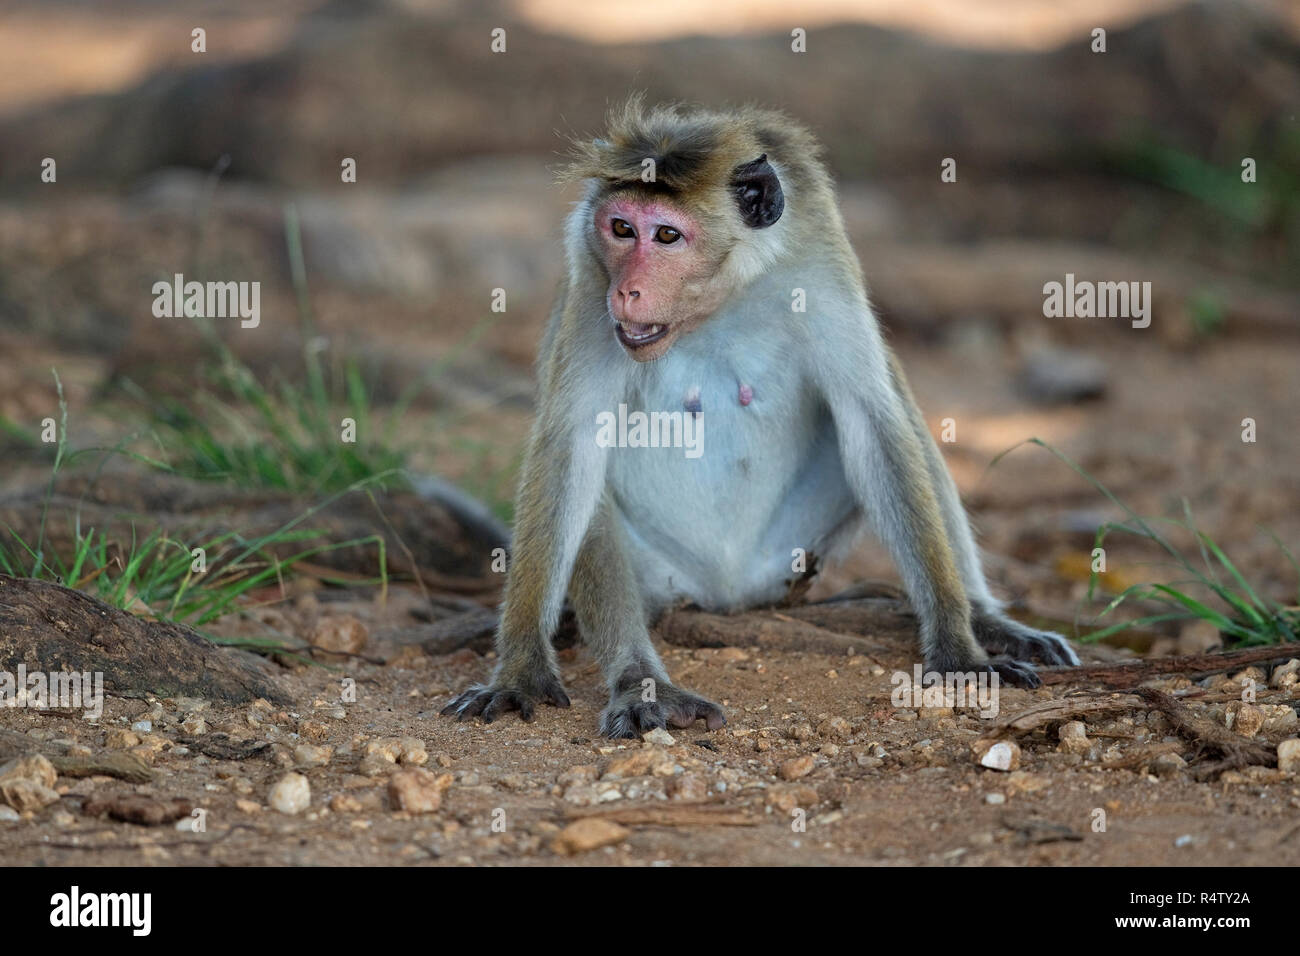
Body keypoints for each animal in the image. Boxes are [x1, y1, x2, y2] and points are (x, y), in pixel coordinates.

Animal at [443, 97, 1079, 738]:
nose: (626, 292)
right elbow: (572, 445)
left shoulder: (816, 255)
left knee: (897, 411)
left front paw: (956, 646)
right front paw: (522, 669)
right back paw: (642, 681)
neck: (722, 298)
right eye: (621, 229)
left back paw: (986, 619)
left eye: (666, 235)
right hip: (665, 573)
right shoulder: (589, 274)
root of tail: (727, 592)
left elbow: (872, 421)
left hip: (787, 555)